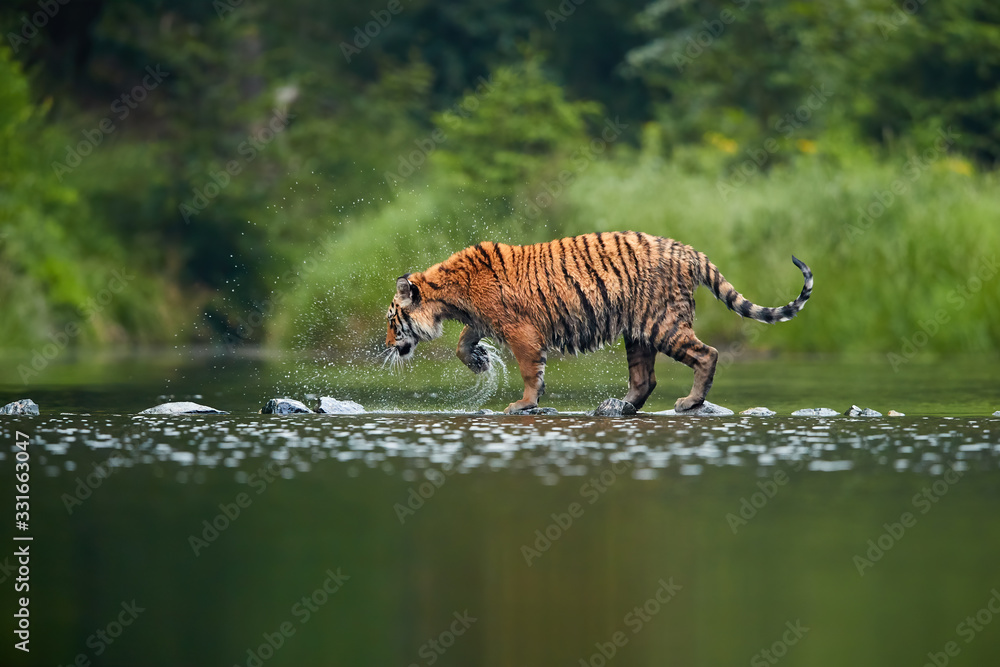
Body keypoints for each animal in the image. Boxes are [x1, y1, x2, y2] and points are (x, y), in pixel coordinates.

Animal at [385, 231, 812, 414]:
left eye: (392, 321)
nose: (387, 346)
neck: (448, 294)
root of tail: (688, 250)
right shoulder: (482, 321)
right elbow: (462, 342)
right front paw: (479, 362)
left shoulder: (521, 331)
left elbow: (530, 371)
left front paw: (524, 403)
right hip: (638, 332)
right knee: (645, 378)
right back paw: (619, 406)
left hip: (663, 323)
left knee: (707, 353)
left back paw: (690, 402)